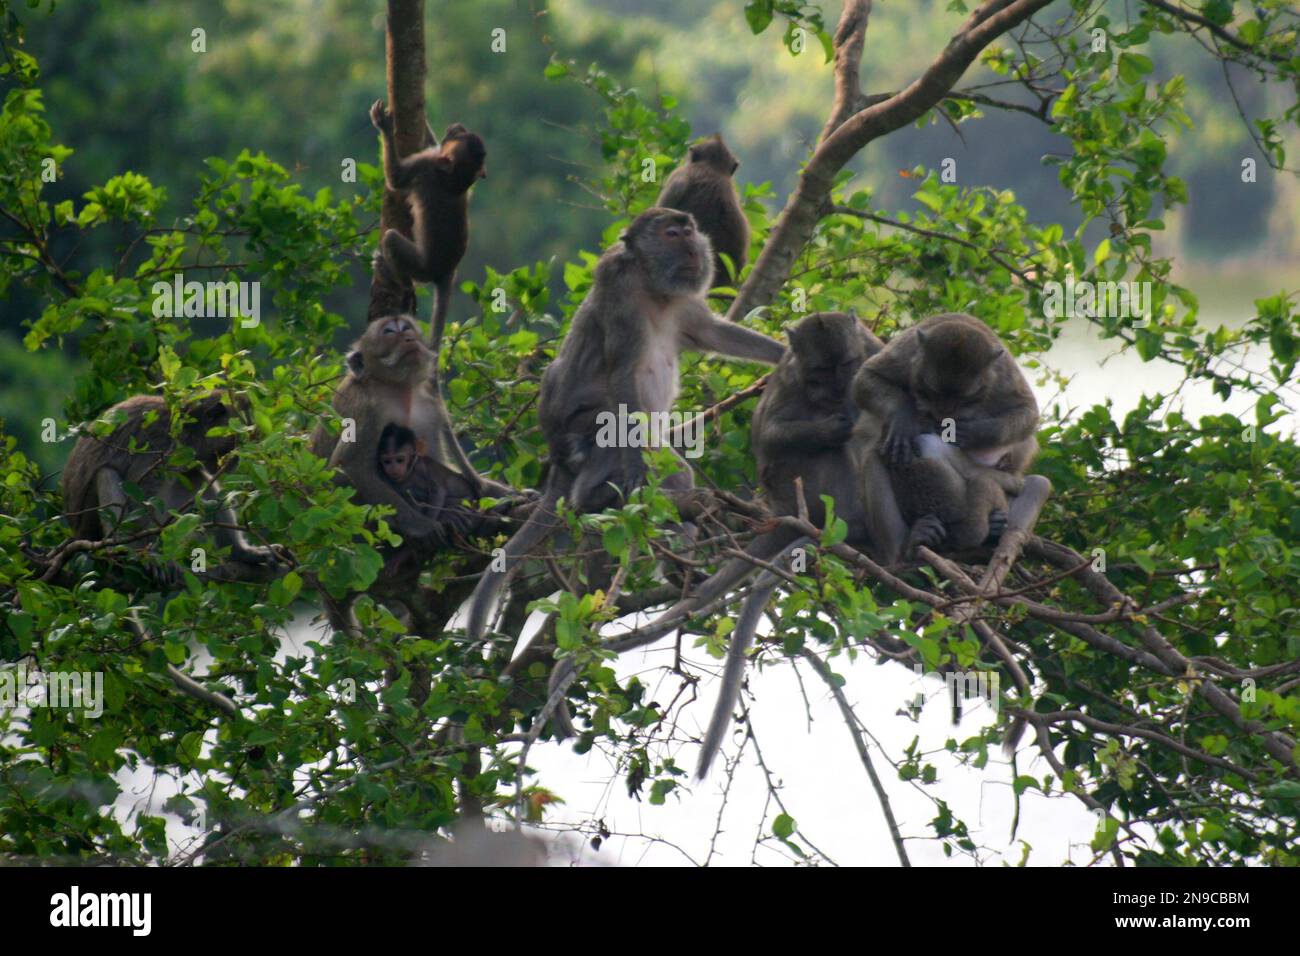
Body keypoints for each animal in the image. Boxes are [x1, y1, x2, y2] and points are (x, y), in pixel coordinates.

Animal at [61, 392, 282, 581]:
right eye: (235, 441)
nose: (236, 459)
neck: (185, 430)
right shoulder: (158, 448)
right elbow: (138, 495)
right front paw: (148, 555)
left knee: (194, 476)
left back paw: (240, 552)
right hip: (90, 526)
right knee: (106, 473)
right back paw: (122, 551)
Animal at [311, 314, 518, 543]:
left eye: (406, 328)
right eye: (389, 332)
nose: (409, 339)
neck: (398, 388)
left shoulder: (430, 406)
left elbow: (435, 464)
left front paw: (504, 493)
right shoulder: (368, 408)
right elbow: (350, 464)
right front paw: (423, 525)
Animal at [462, 207, 785, 642]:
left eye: (689, 231)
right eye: (671, 234)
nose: (692, 247)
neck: (654, 286)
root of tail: (558, 467)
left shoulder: (683, 299)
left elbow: (713, 333)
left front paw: (790, 352)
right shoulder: (619, 291)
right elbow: (623, 373)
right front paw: (631, 470)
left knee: (676, 478)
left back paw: (679, 566)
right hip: (581, 442)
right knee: (609, 421)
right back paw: (592, 497)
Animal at [851, 312, 1039, 565]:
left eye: (965, 398)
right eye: (931, 392)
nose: (943, 413)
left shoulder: (1003, 375)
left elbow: (1028, 411)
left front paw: (975, 433)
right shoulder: (908, 353)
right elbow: (866, 378)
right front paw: (903, 419)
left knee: (1036, 481)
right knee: (873, 460)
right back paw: (906, 548)